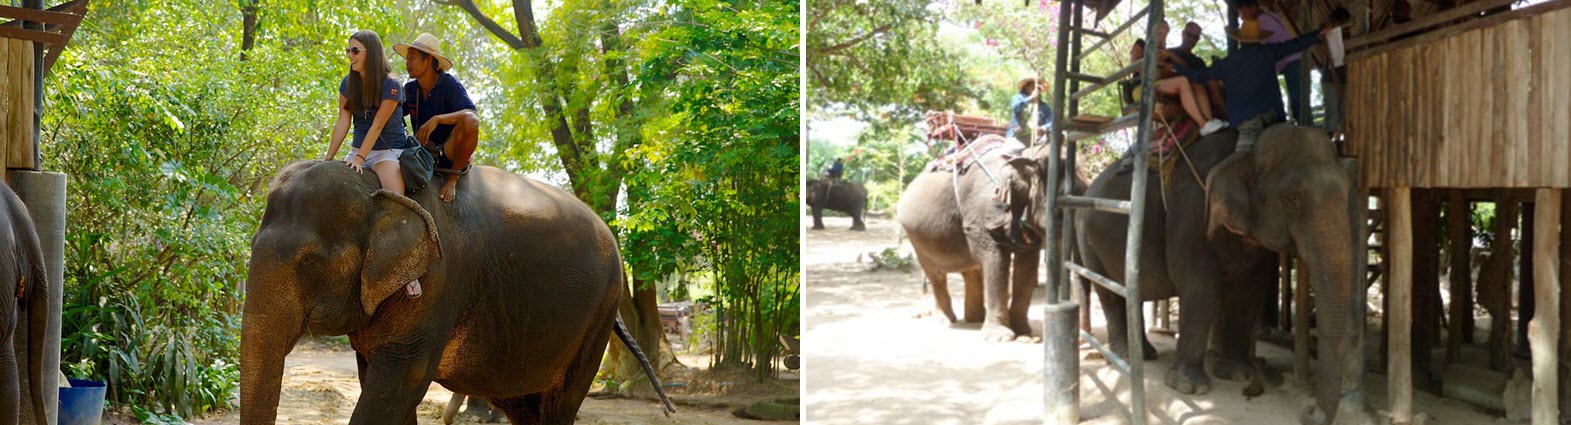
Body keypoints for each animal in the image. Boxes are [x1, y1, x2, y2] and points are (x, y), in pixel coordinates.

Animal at [240, 160, 672, 425]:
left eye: (310, 262)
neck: (377, 186)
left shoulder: (440, 278)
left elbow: (403, 378)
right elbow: (380, 380)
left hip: (600, 315)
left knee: (559, 404)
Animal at [896, 136, 1049, 342]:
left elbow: (1027, 263)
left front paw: (1025, 334)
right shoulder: (985, 212)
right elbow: (995, 257)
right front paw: (1000, 337)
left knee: (971, 270)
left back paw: (975, 319)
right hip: (915, 236)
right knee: (935, 273)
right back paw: (947, 320)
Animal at [1076, 124, 1358, 425]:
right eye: (1291, 199)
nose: (1309, 413)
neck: (1244, 152)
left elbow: (1248, 292)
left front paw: (1237, 373)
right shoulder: (1190, 212)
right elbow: (1201, 288)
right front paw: (1190, 387)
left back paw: (1145, 354)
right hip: (1086, 234)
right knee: (1107, 290)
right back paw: (1126, 357)